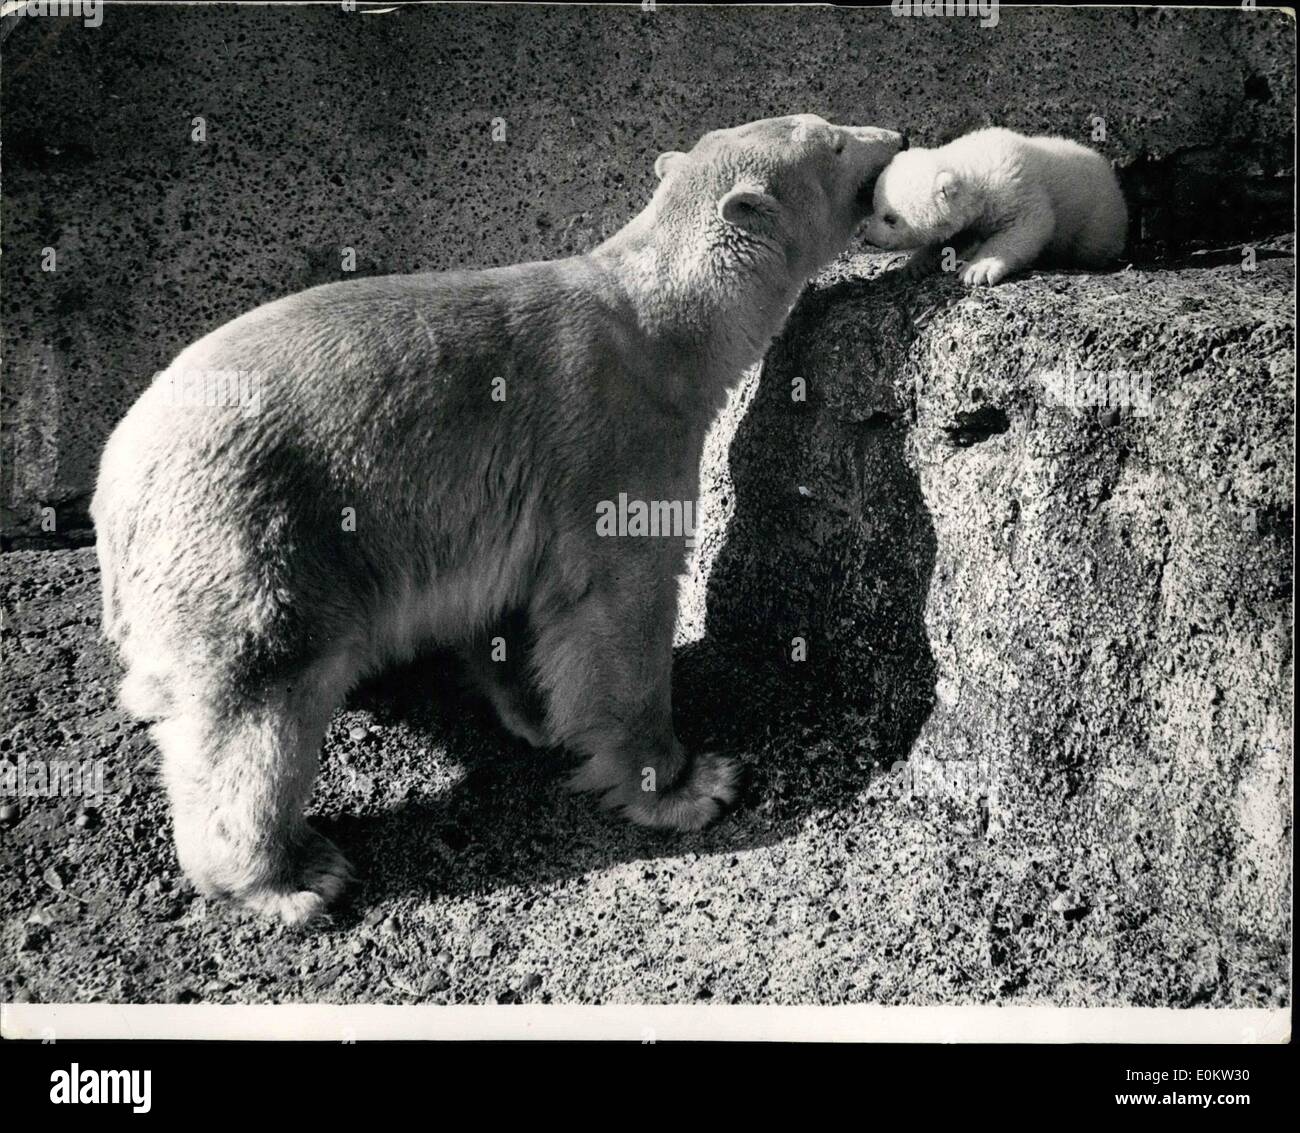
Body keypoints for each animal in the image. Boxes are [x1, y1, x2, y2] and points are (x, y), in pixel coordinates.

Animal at [90, 115, 907, 924]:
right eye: (833, 139)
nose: (895, 138)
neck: (659, 326)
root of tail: (112, 484)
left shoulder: (524, 499)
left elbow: (521, 605)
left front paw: (537, 712)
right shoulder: (618, 438)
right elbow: (618, 607)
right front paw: (686, 781)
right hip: (254, 524)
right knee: (263, 689)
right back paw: (291, 875)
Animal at [858, 127, 1127, 286]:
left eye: (890, 218)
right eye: (874, 207)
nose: (869, 239)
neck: (978, 164)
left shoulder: (1017, 189)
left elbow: (1027, 226)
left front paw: (977, 269)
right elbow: (954, 237)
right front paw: (917, 265)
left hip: (1098, 217)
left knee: (1092, 245)